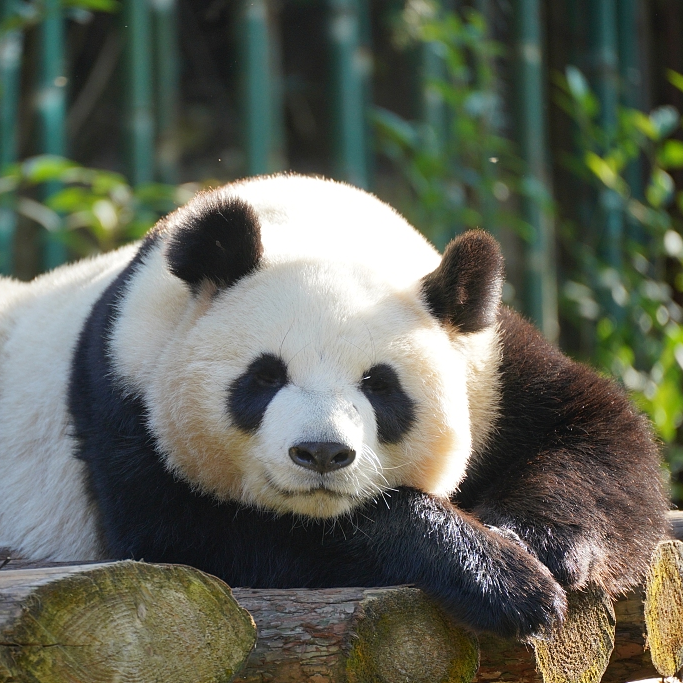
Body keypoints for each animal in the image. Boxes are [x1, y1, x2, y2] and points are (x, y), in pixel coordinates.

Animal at [0, 174, 668, 640]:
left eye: (380, 385)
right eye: (265, 376)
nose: (321, 453)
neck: (308, 223)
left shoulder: (490, 364)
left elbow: (596, 434)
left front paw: (535, 540)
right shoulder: (126, 387)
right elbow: (201, 535)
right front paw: (499, 578)